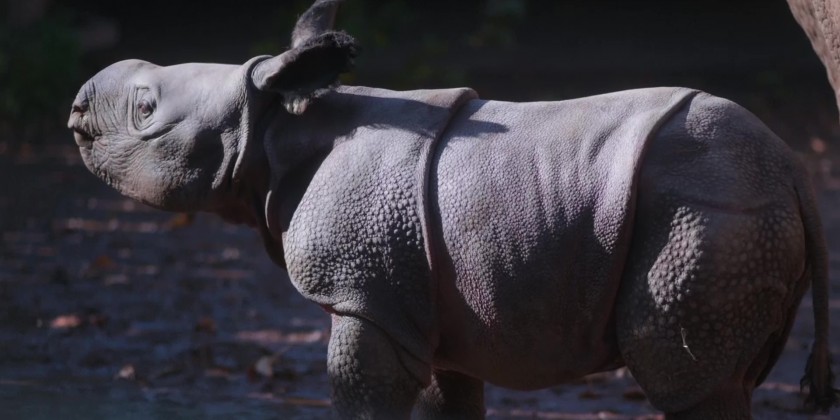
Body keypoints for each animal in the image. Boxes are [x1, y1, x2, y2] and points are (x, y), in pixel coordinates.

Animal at [67, 0, 838, 418]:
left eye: (144, 111)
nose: (76, 107)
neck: (278, 129)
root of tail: (792, 170)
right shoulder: (433, 301)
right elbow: (451, 399)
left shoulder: (366, 297)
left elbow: (360, 395)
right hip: (736, 212)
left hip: (710, 213)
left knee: (692, 387)